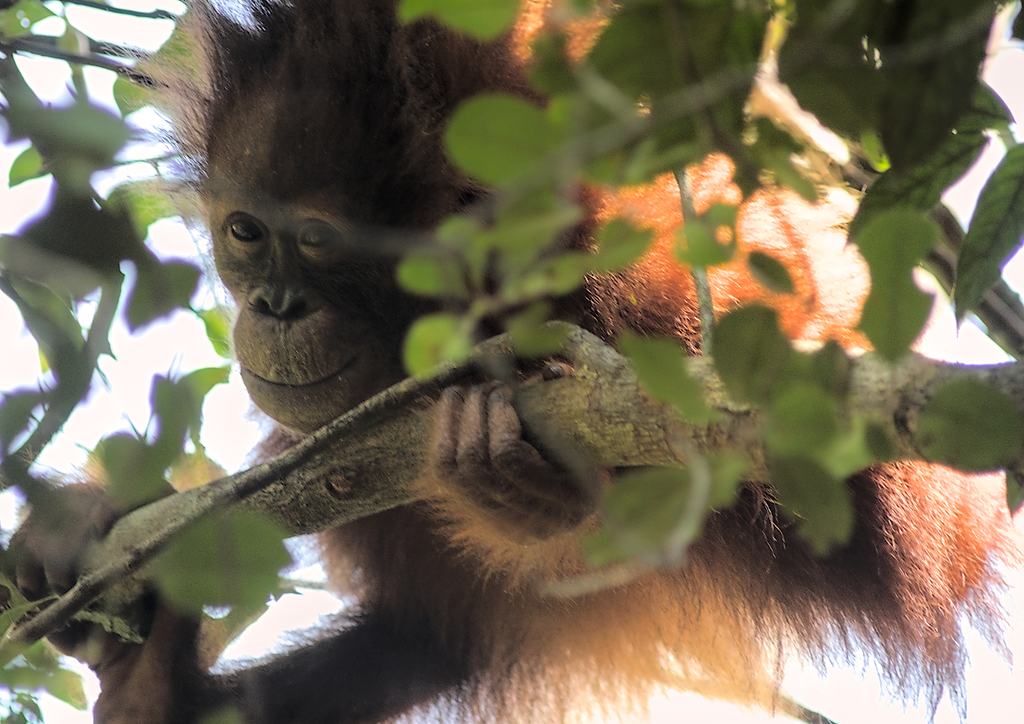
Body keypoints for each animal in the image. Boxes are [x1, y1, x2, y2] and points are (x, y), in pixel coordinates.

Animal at [8, 1, 1021, 723]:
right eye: (246, 233)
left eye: (319, 240)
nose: (274, 306)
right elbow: (425, 627)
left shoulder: (659, 287)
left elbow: (868, 506)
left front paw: (531, 493)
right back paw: (150, 684)